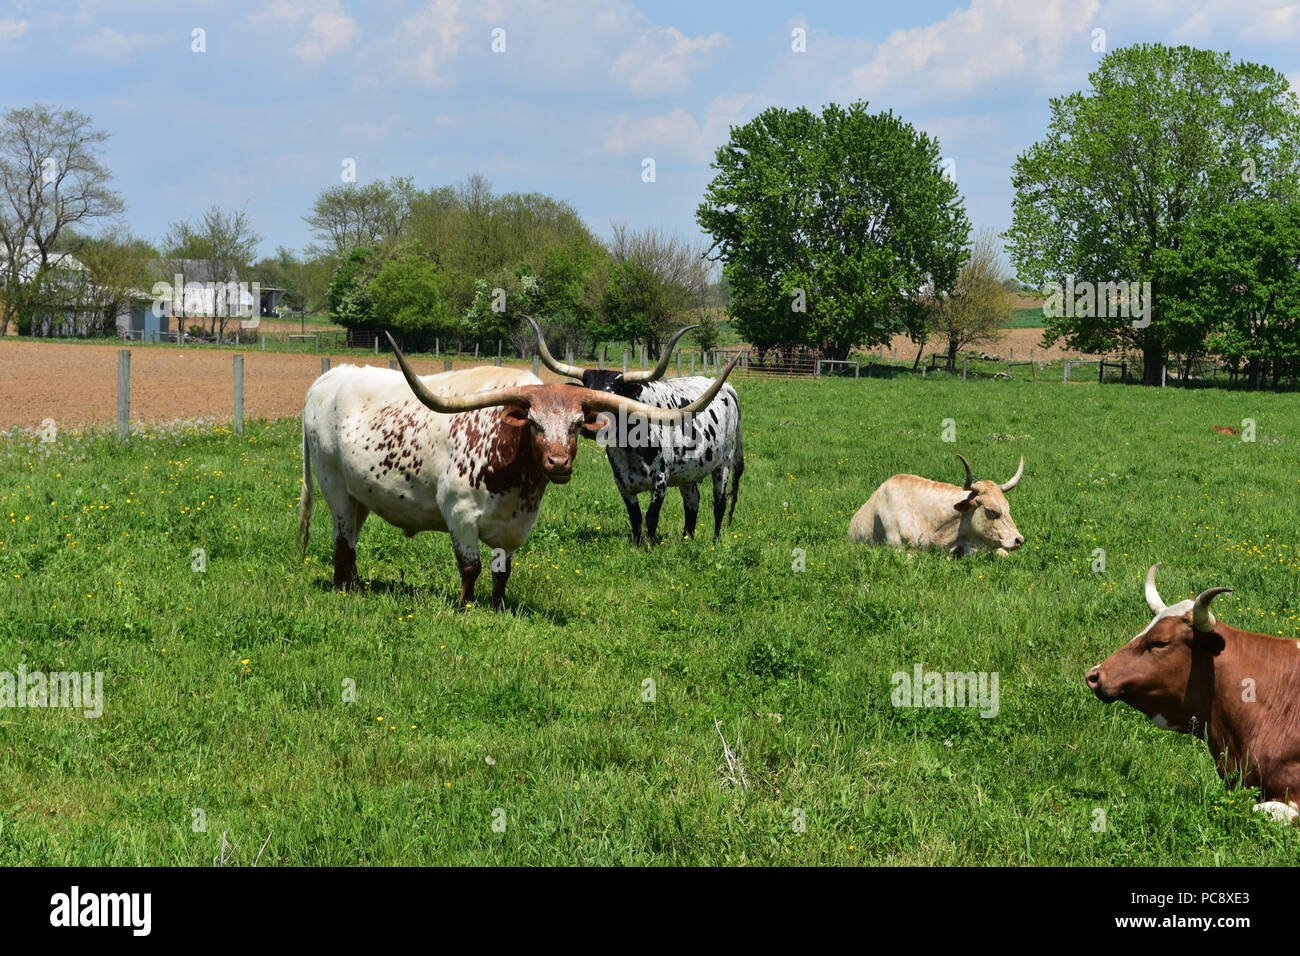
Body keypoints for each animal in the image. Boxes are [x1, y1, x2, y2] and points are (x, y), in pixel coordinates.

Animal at [525, 315, 744, 544]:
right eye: (586, 393)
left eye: (615, 394)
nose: (592, 424)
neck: (629, 445)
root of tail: (723, 386)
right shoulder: (623, 483)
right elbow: (635, 518)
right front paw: (638, 545)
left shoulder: (661, 480)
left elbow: (651, 518)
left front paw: (650, 546)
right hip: (688, 472)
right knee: (692, 501)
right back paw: (687, 539)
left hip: (723, 464)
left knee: (719, 504)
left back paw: (715, 541)